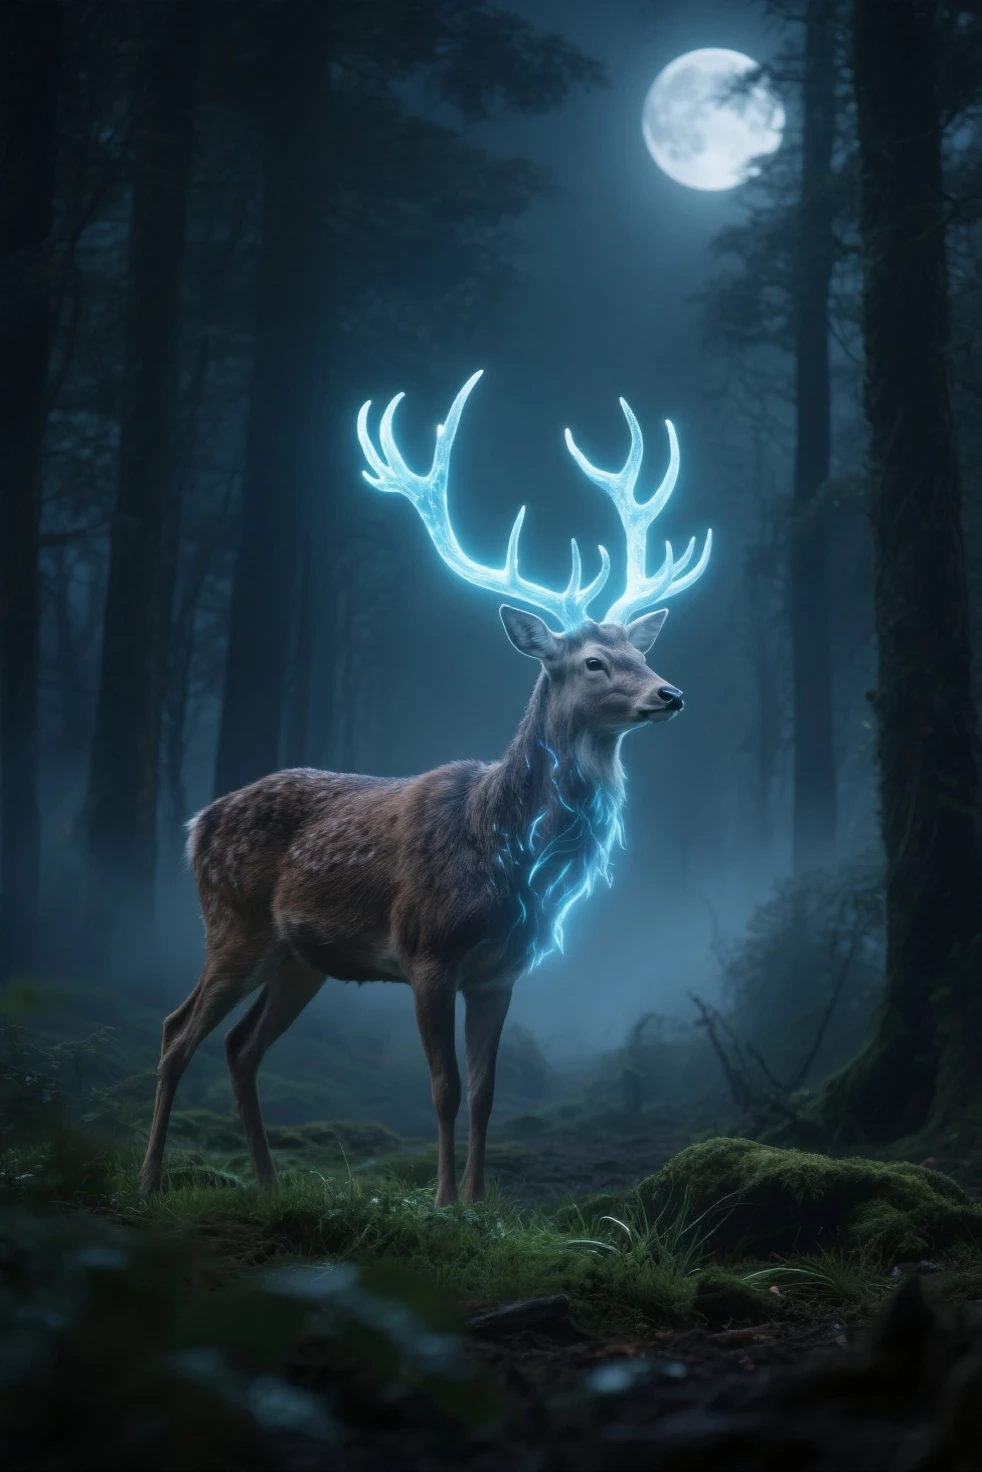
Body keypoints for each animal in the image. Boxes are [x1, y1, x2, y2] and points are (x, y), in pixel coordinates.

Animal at [138, 371, 711, 1205]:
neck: (507, 854)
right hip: (233, 922)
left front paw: (479, 1206)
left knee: (242, 1047)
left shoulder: (502, 971)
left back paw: (270, 1185)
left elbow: (486, 1093)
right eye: (593, 662)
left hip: (301, 957)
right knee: (176, 1031)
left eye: (639, 651)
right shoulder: (426, 950)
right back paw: (149, 1178)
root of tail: (196, 824)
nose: (670, 694)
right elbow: (442, 1087)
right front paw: (441, 1203)